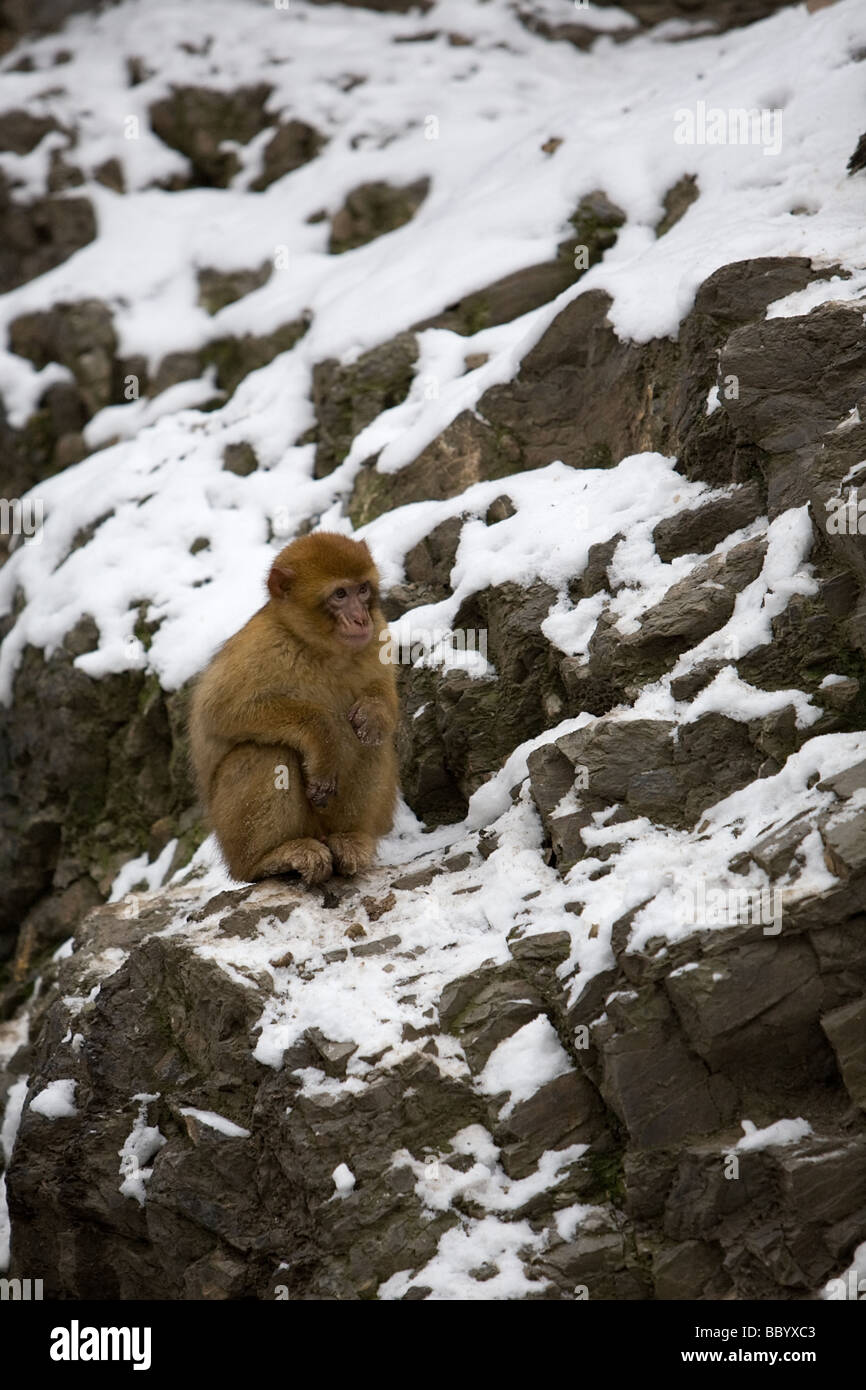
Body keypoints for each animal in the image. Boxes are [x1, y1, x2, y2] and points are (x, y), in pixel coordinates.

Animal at [189, 532, 399, 885]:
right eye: (339, 594)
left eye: (362, 589)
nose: (360, 619)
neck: (317, 647)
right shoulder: (261, 647)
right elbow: (220, 712)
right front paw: (322, 735)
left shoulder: (379, 632)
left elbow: (383, 695)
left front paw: (374, 711)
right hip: (235, 838)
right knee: (266, 752)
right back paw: (270, 858)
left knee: (370, 741)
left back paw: (350, 839)